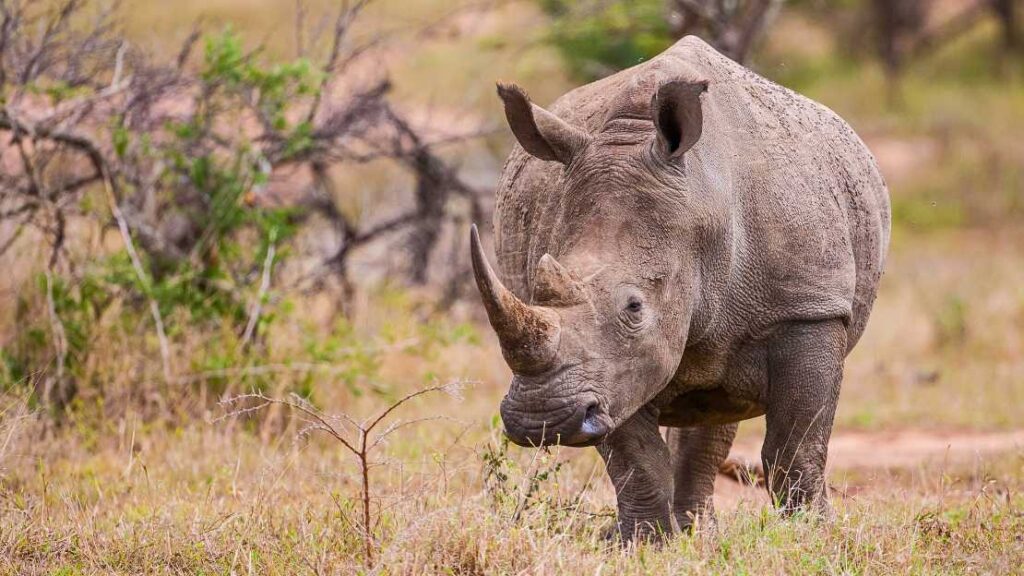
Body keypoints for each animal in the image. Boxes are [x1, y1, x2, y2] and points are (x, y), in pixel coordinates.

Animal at [470, 36, 890, 541]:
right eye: (535, 289)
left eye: (634, 307)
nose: (542, 420)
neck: (703, 207)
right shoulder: (610, 369)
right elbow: (637, 460)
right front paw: (644, 543)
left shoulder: (808, 307)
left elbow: (797, 445)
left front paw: (812, 536)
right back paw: (693, 533)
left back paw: (701, 531)